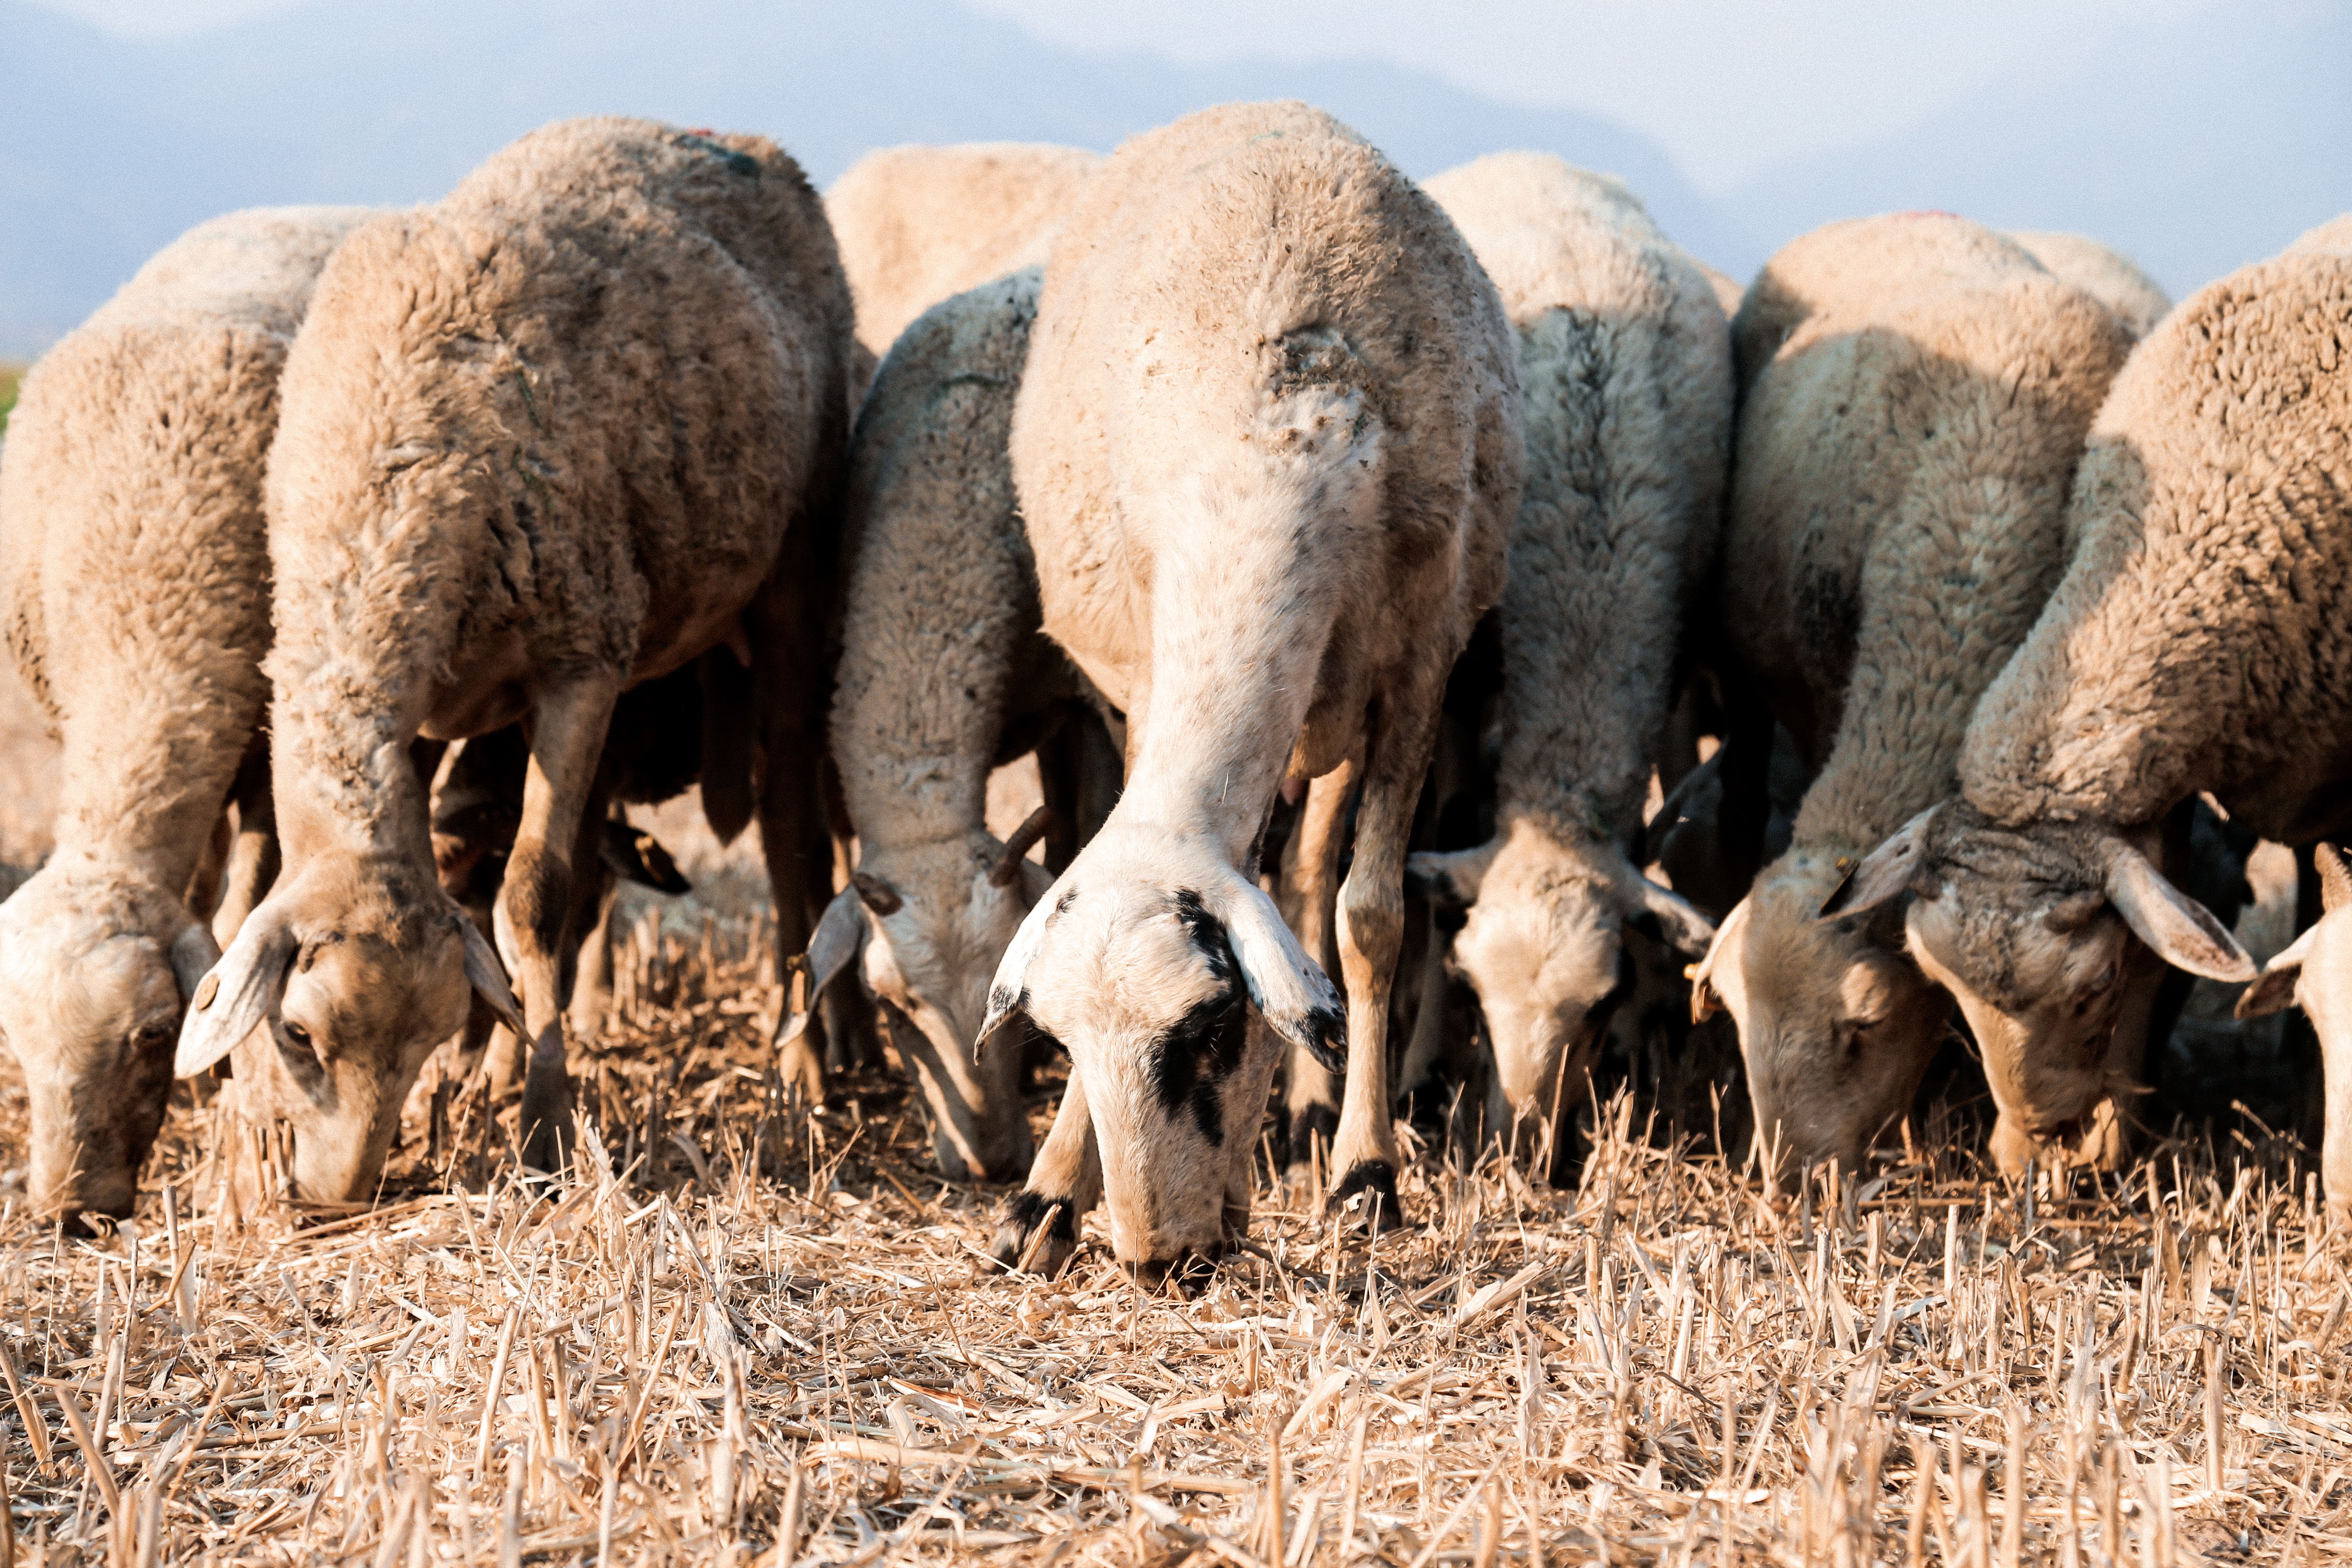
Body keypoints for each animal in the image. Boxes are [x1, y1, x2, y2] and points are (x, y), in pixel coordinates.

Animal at [172, 117, 856, 1200]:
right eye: (297, 1036)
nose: (340, 1197)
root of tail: (739, 142)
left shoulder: (584, 659)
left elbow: (535, 893)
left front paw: (543, 1122)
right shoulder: (413, 718)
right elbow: (473, 891)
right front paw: (489, 1086)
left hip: (798, 559)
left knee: (791, 826)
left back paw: (805, 1066)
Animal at [974, 101, 1523, 1277]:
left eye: (1211, 1031)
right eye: (1062, 1044)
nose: (1158, 1263)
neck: (1270, 455)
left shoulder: (1417, 672)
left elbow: (1368, 918)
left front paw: (1365, 1175)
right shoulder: (1144, 680)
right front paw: (1046, 1196)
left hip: (1346, 707)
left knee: (1315, 883)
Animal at [1379, 153, 1726, 1176]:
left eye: (1599, 999)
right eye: (1472, 984)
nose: (1519, 1155)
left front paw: (1647, 1042)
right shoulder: (1461, 676)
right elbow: (1444, 844)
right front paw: (1423, 1070)